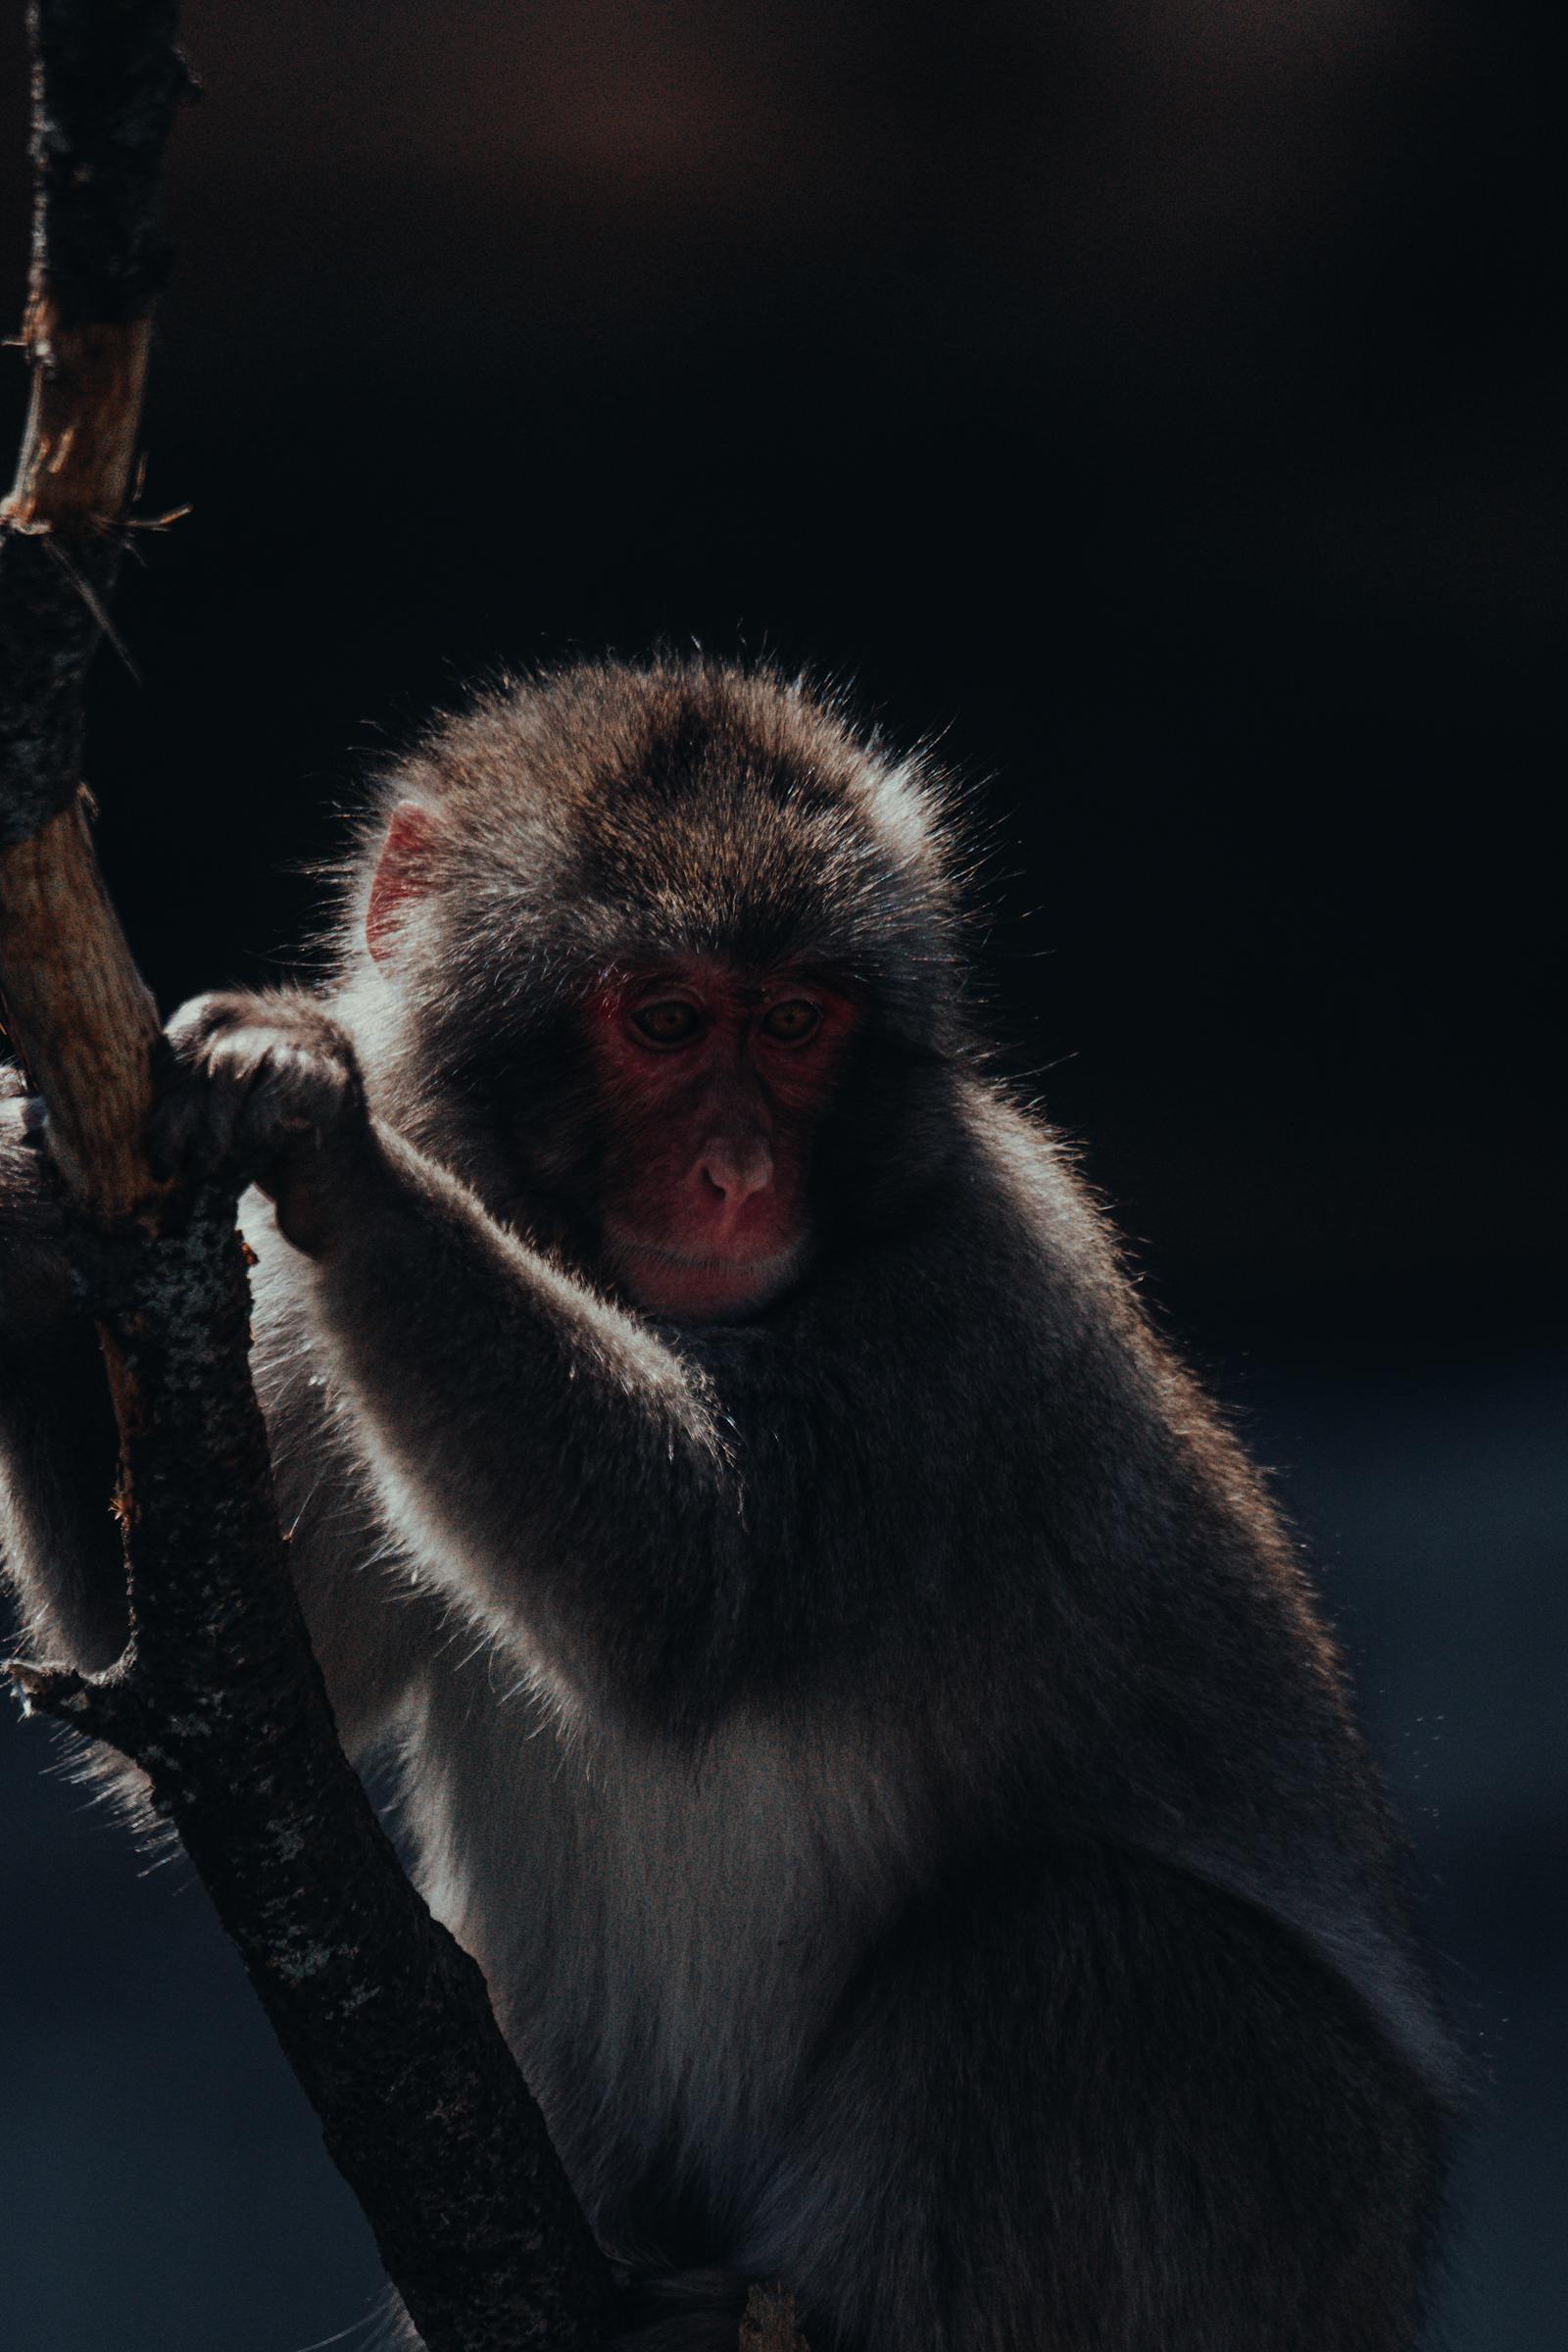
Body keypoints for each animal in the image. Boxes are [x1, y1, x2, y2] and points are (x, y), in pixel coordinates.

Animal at [0, 658, 1457, 2350]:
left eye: (798, 1022)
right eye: (666, 1020)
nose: (741, 1176)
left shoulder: (985, 1308)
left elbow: (696, 1586)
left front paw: (330, 1140)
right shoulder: (297, 1345)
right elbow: (238, 1681)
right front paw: (29, 1194)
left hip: (1303, 2218)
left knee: (1084, 1941)